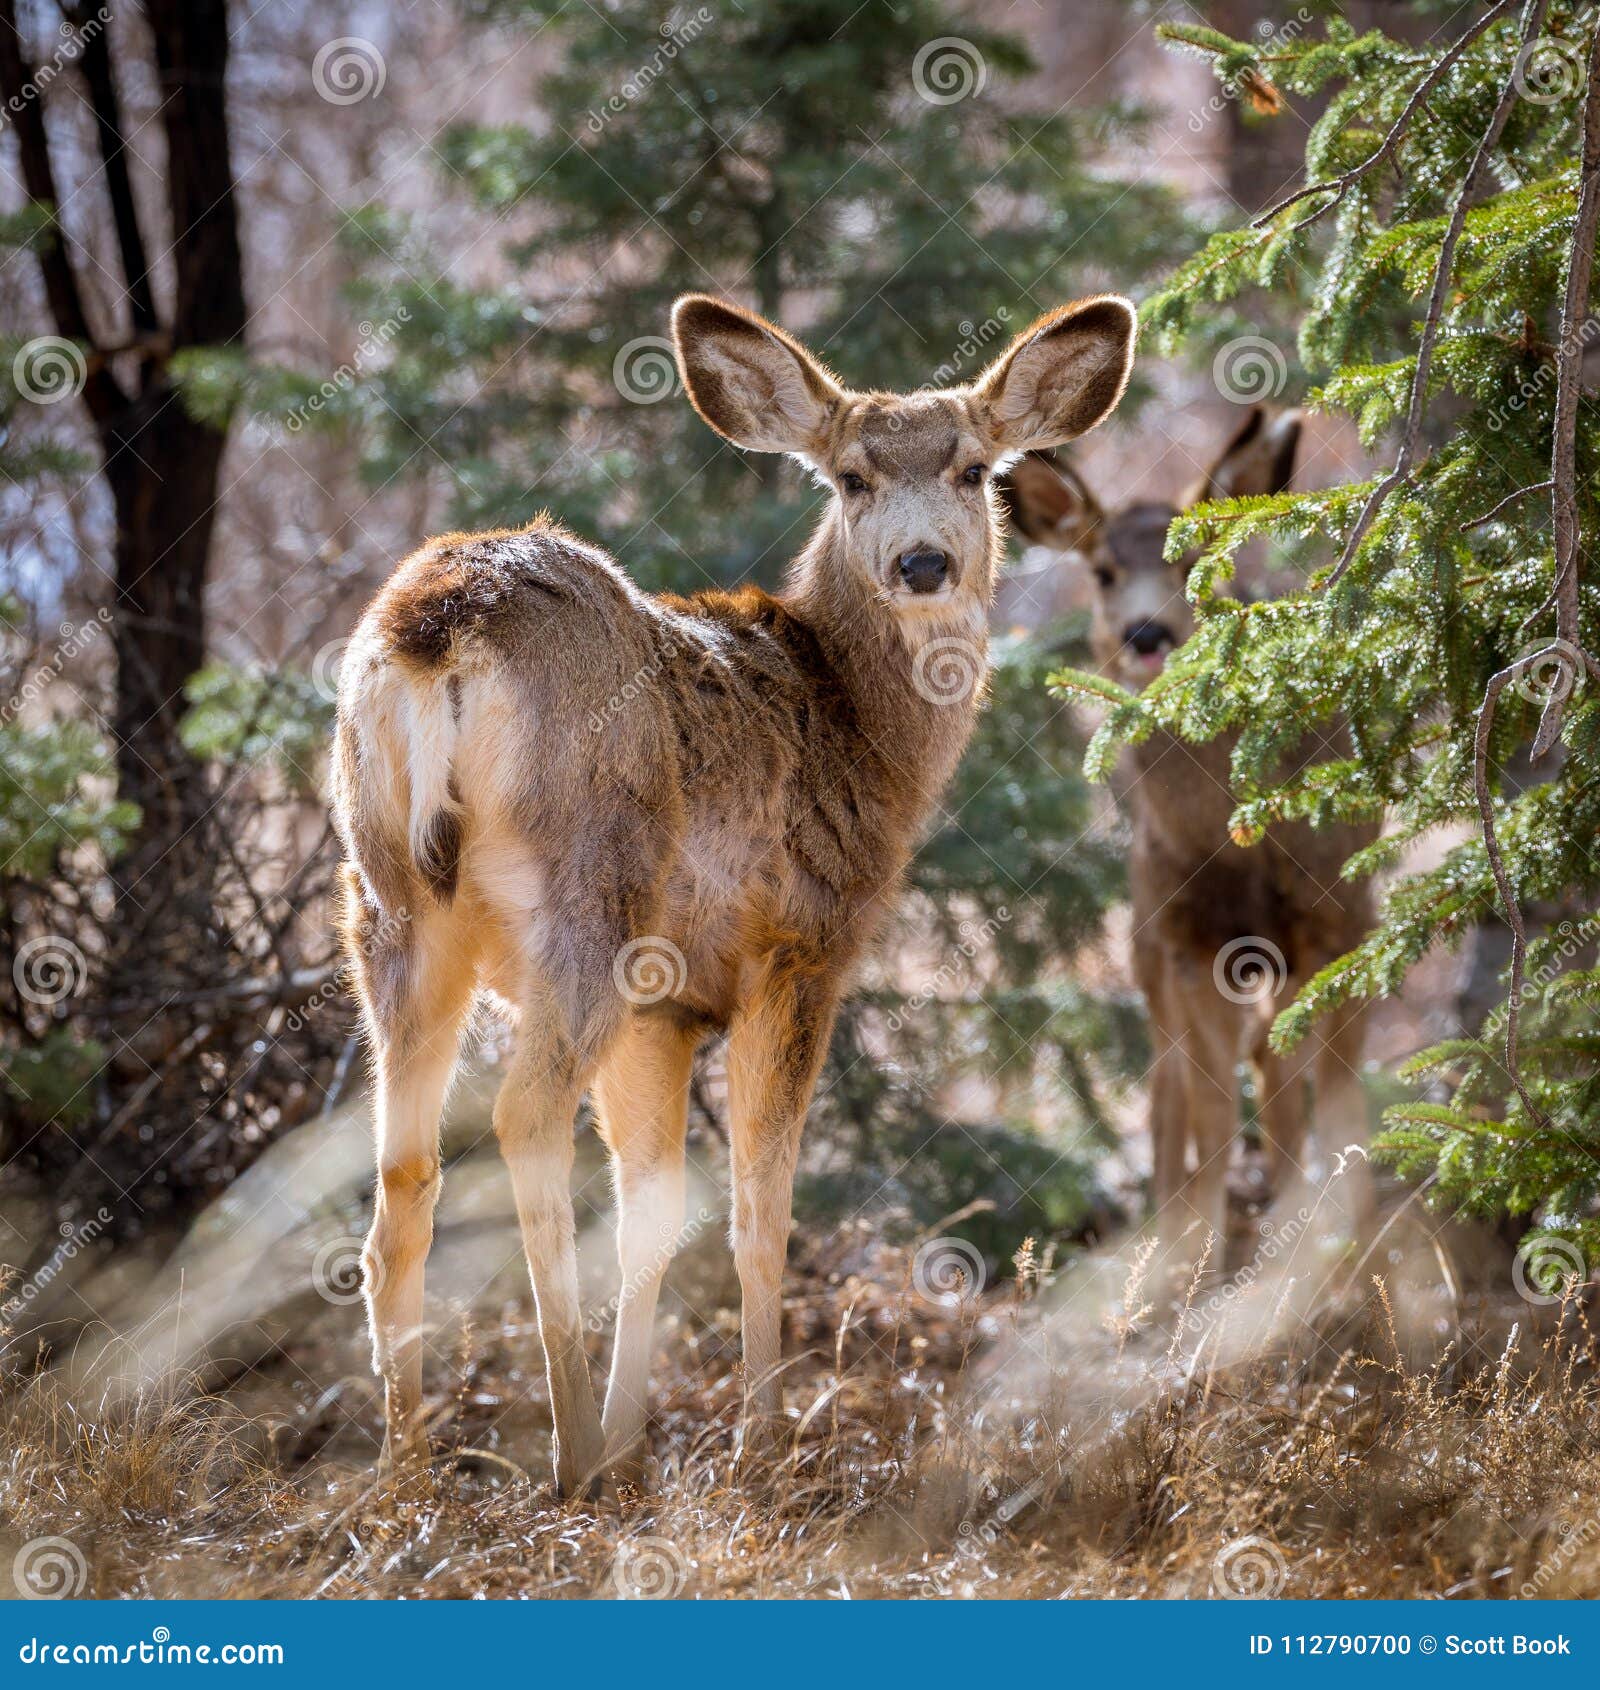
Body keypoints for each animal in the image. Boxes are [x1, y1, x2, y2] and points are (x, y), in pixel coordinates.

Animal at [330, 291, 1137, 1496]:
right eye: (850, 476)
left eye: (969, 466)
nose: (923, 563)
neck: (861, 727)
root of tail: (436, 630)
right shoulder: (801, 949)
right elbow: (761, 1210)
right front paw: (759, 1442)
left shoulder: (663, 1014)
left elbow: (651, 1216)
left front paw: (640, 1441)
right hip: (592, 890)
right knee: (525, 1118)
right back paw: (567, 1450)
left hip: (387, 908)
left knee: (400, 1184)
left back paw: (408, 1468)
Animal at [1002, 407, 1377, 1280]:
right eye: (1103, 570)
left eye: (1194, 556)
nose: (1148, 632)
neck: (1238, 846)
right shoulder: (1190, 939)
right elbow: (1211, 1102)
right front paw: (1208, 1265)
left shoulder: (1339, 916)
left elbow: (1326, 1091)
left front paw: (1328, 1247)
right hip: (1148, 934)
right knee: (1173, 1082)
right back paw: (1169, 1243)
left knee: (1270, 1073)